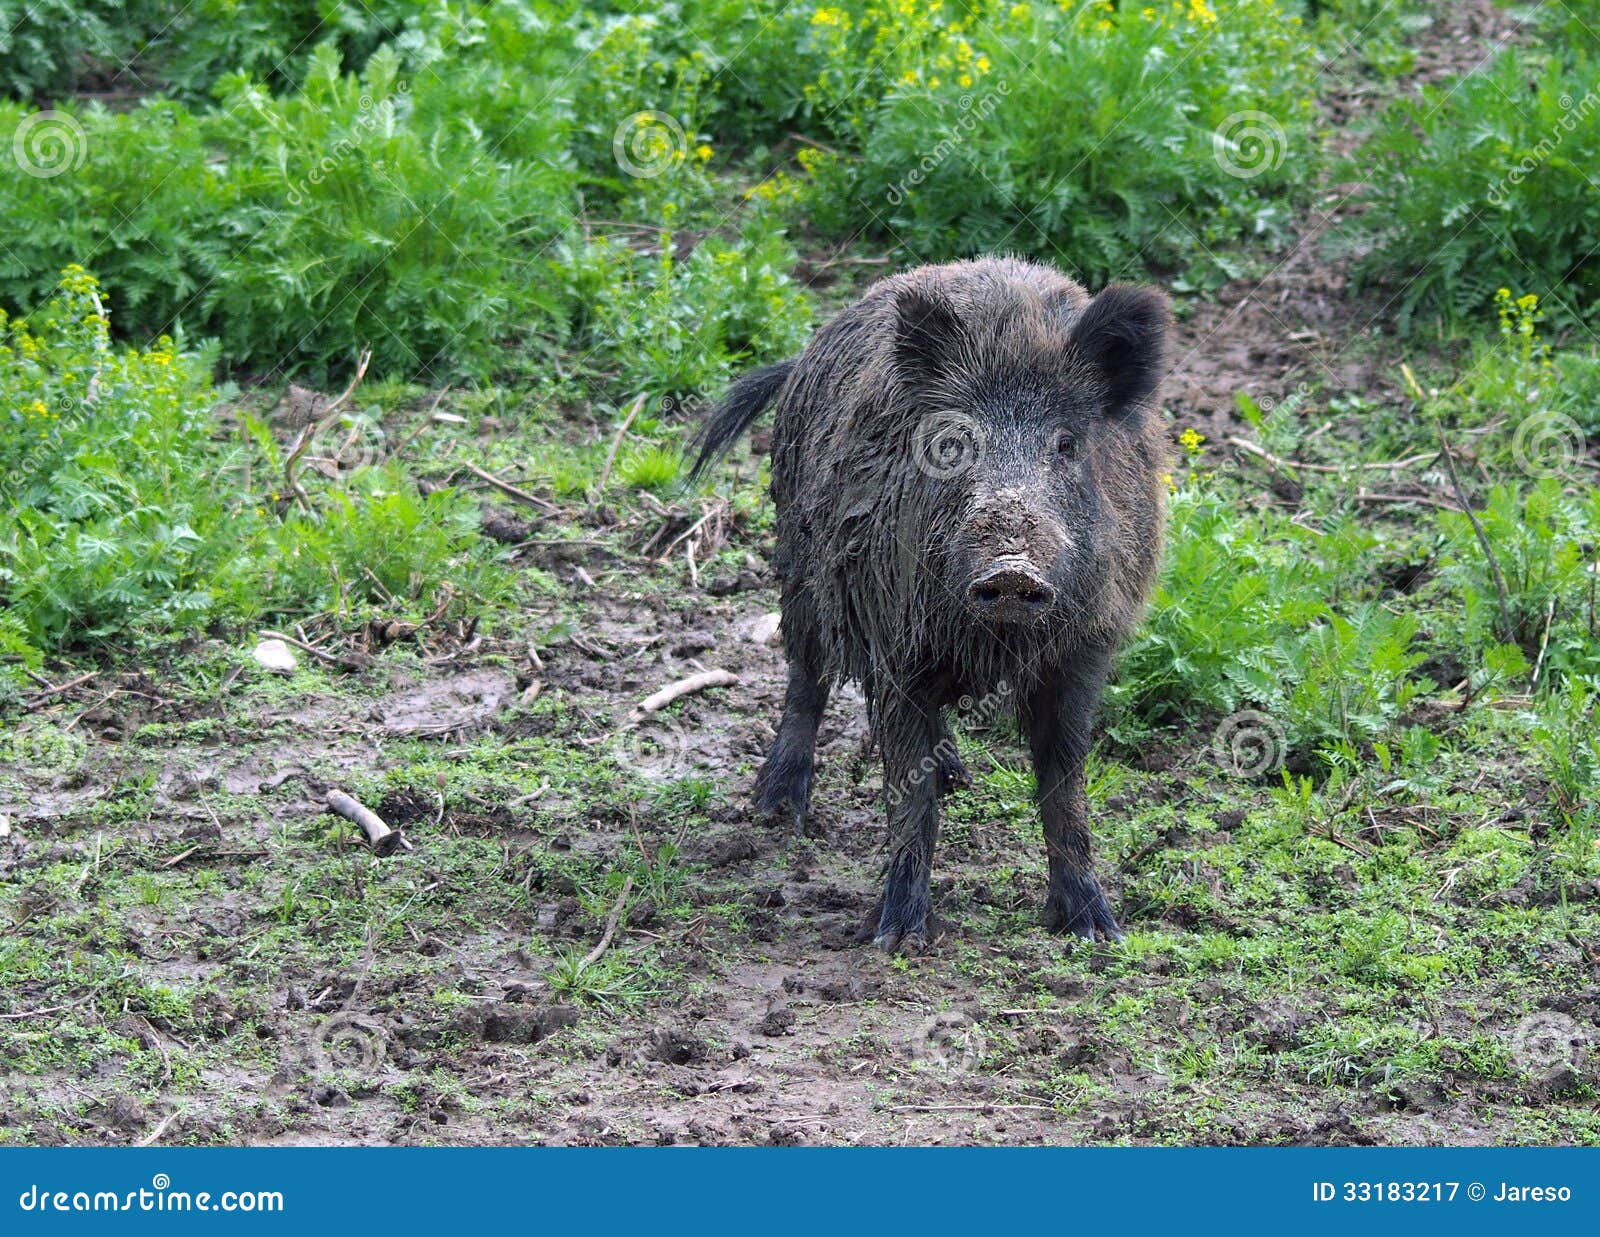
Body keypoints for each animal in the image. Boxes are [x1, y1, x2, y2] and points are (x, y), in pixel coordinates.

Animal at [689, 257, 1170, 950]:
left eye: (1066, 444)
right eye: (952, 444)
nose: (1010, 568)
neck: (996, 638)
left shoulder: (1081, 651)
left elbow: (1065, 783)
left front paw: (1096, 933)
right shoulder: (895, 644)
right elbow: (908, 796)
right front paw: (897, 940)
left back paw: (955, 777)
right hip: (800, 567)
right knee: (806, 672)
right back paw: (776, 811)